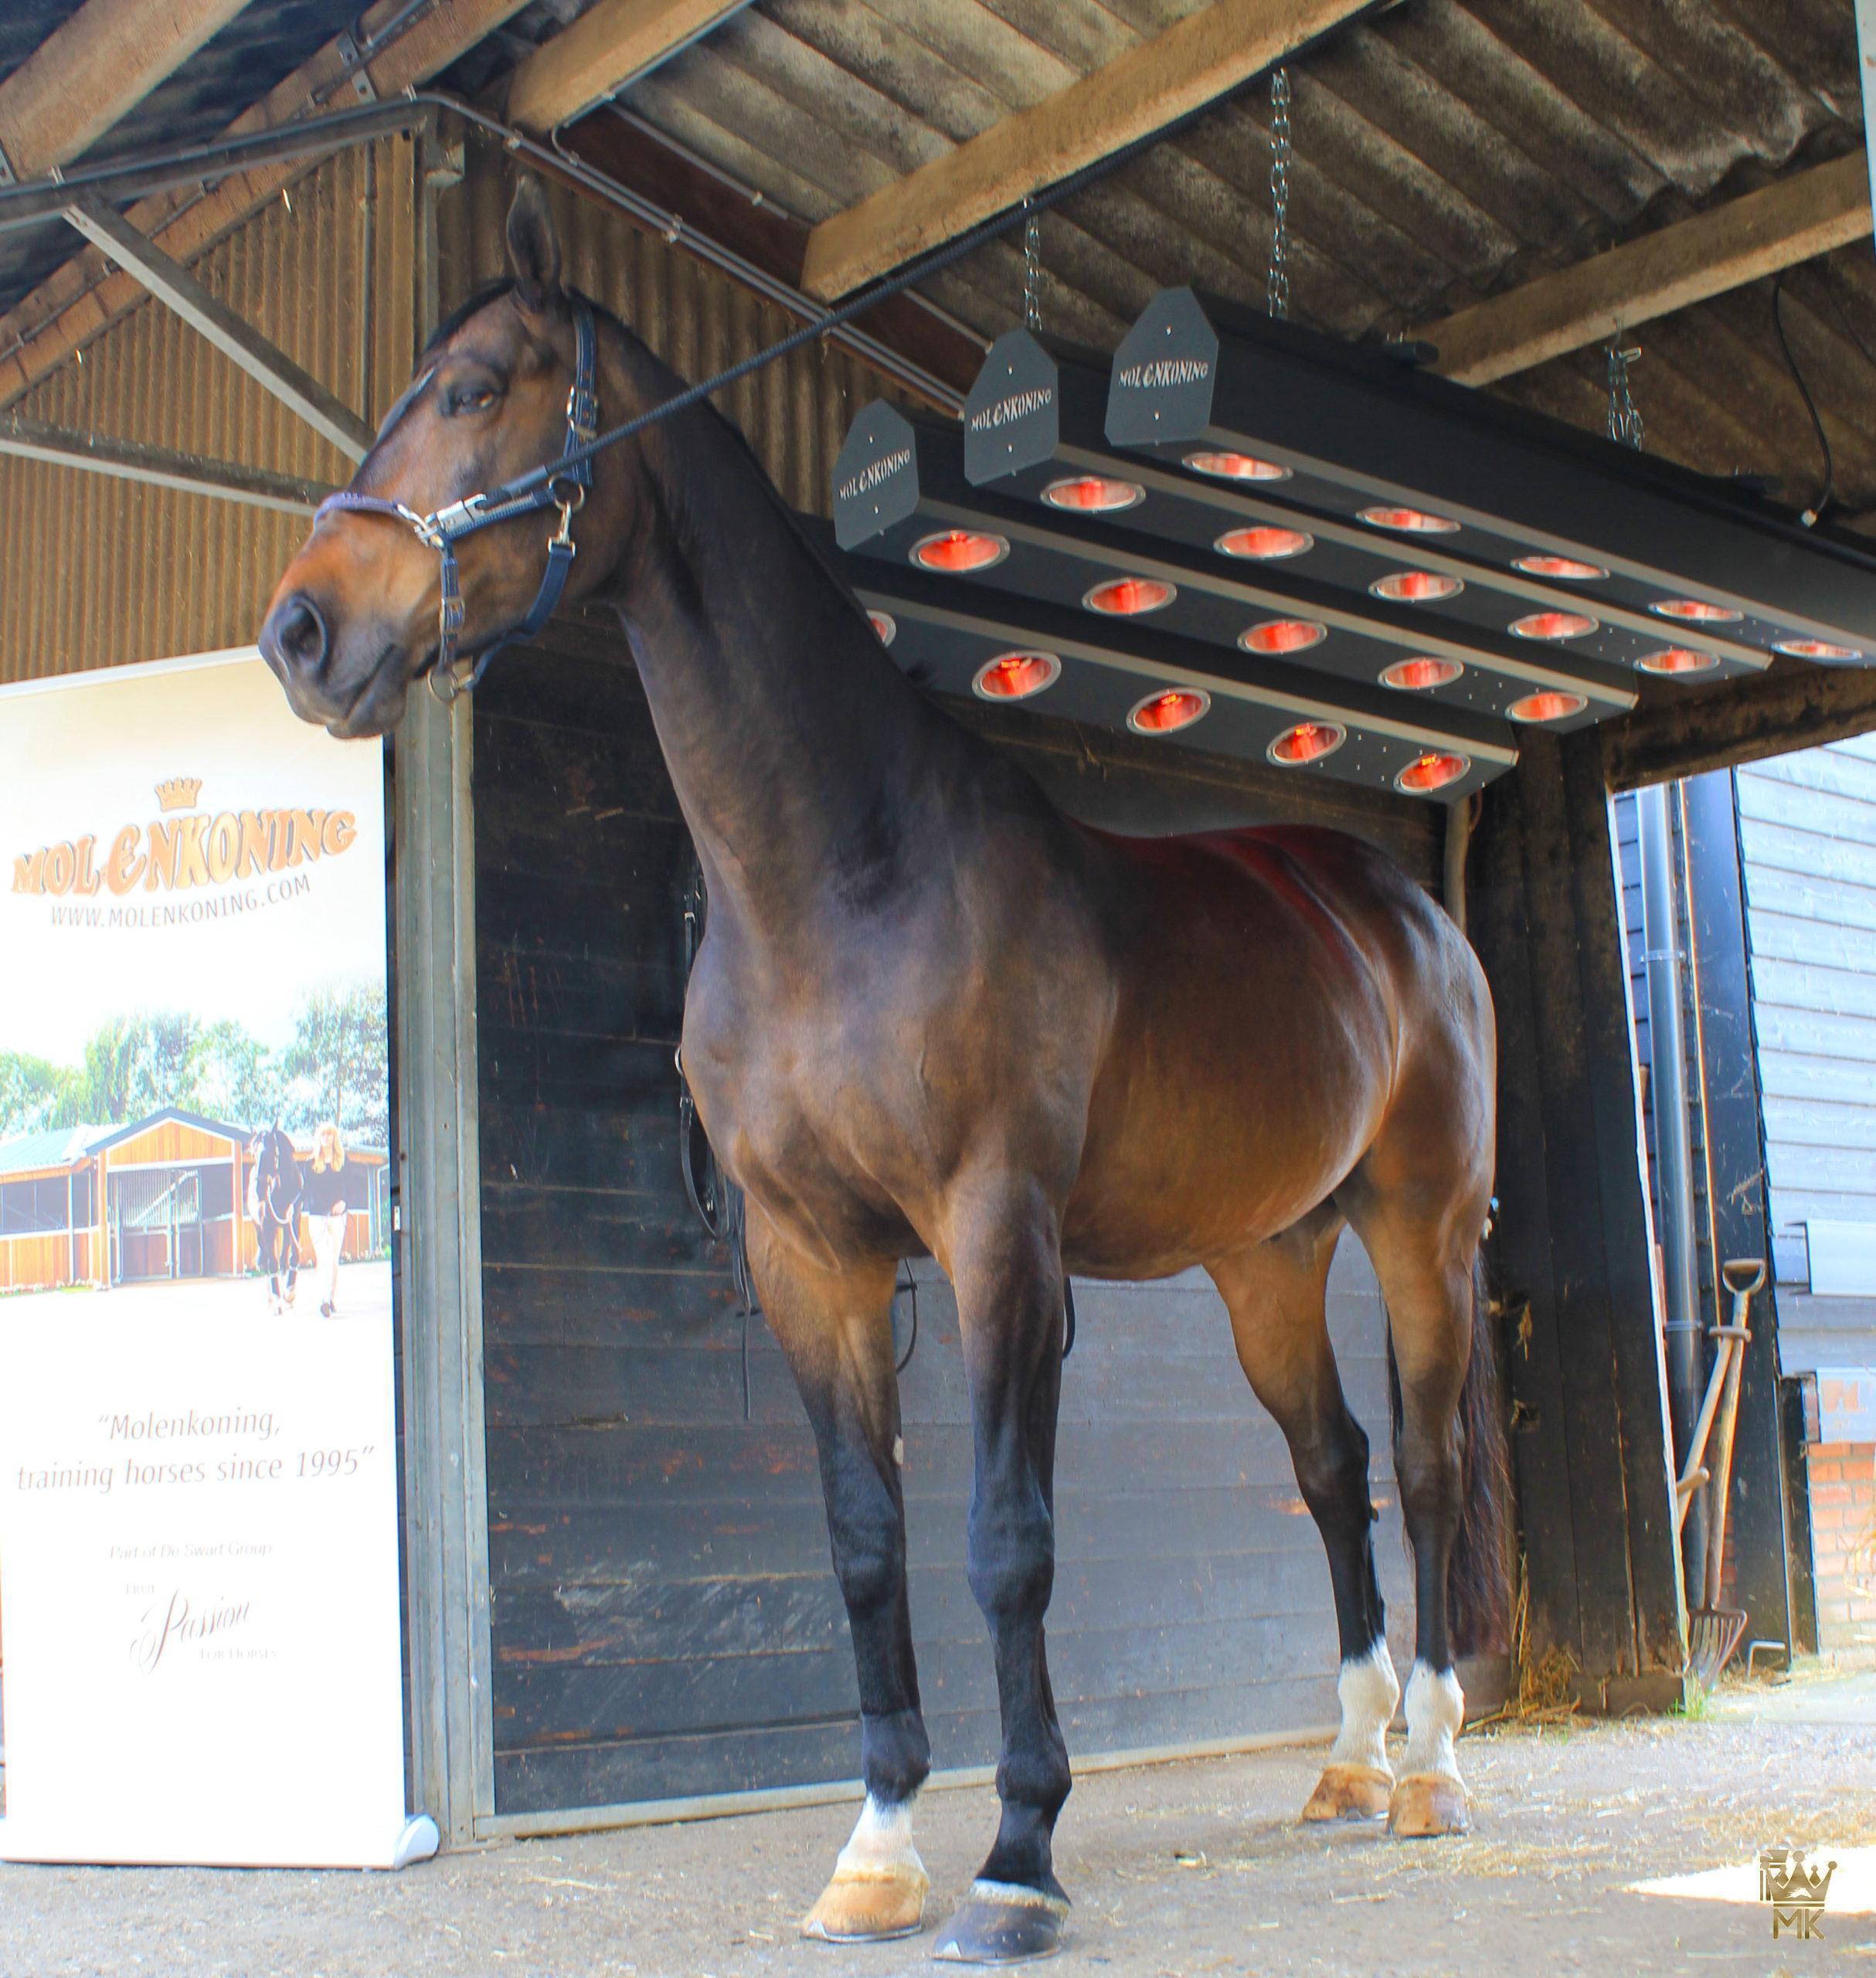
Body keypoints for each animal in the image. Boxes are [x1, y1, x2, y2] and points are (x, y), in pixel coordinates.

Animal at [246, 1122, 304, 1315]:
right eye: (253, 1153)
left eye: (269, 1152)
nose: (259, 1190)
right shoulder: (266, 1225)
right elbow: (272, 1262)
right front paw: (277, 1299)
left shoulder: (294, 1220)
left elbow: (291, 1257)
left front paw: (289, 1294)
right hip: (258, 1229)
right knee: (266, 1261)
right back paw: (271, 1299)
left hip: (283, 1227)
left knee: (282, 1258)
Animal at [258, 179, 1510, 1963]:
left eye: (480, 384)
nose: (302, 632)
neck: (841, 879)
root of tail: (1402, 906)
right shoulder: (809, 1255)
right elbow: (861, 1544)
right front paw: (875, 1851)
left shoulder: (997, 1241)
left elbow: (1003, 1542)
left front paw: (1017, 1856)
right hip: (1263, 1254)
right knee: (1329, 1471)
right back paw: (1343, 1763)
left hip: (1419, 1229)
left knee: (1424, 1462)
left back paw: (1429, 1769)